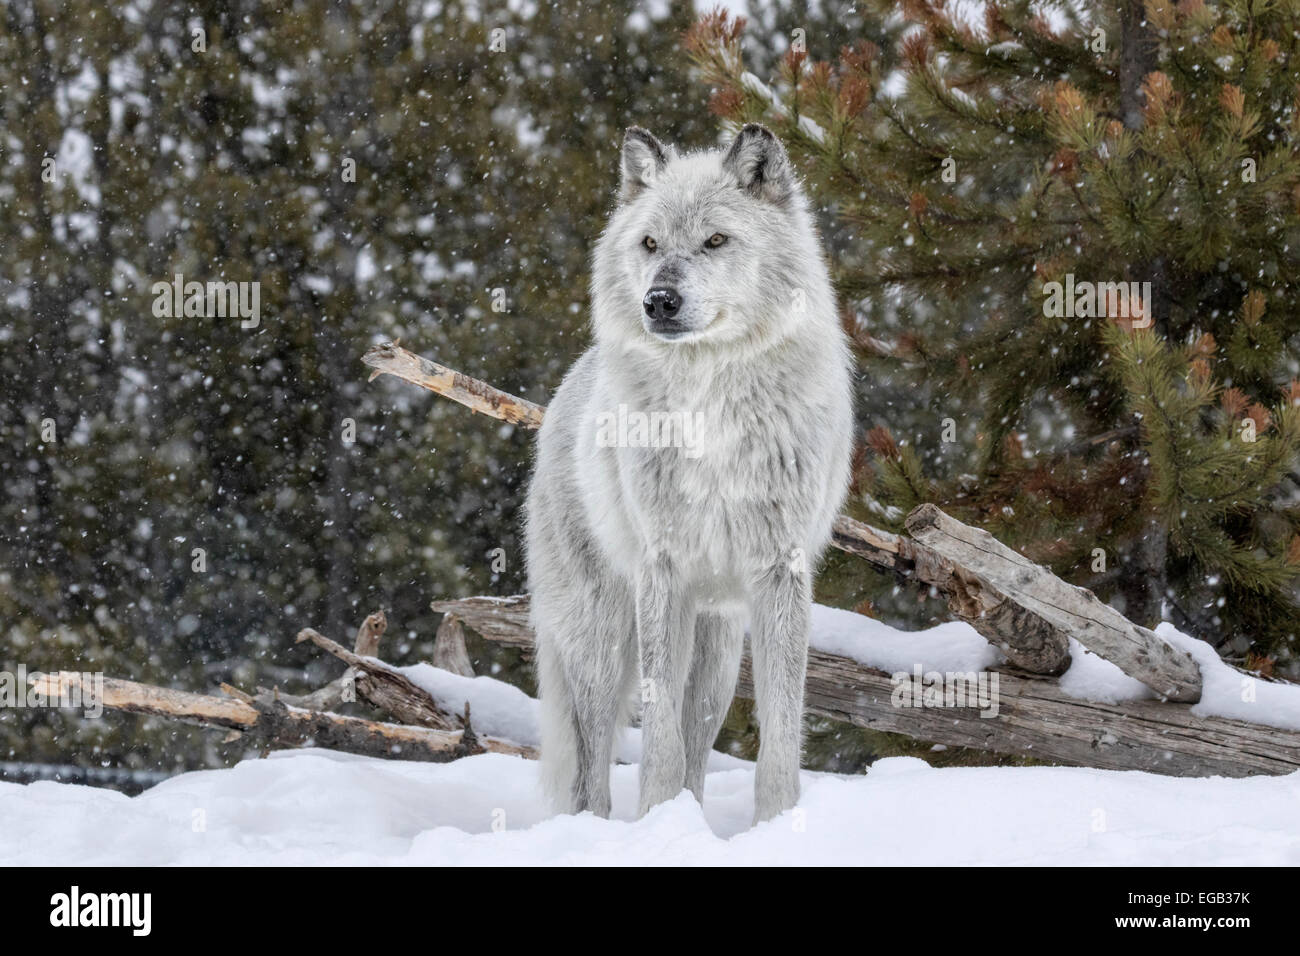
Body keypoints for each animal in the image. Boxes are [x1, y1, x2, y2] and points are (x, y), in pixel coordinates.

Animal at [525, 124, 854, 824]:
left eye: (715, 241)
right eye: (650, 243)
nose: (660, 301)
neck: (712, 408)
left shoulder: (779, 572)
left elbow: (780, 732)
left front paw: (777, 824)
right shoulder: (663, 571)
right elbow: (659, 740)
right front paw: (657, 820)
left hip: (720, 649)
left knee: (699, 730)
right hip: (601, 638)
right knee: (593, 764)